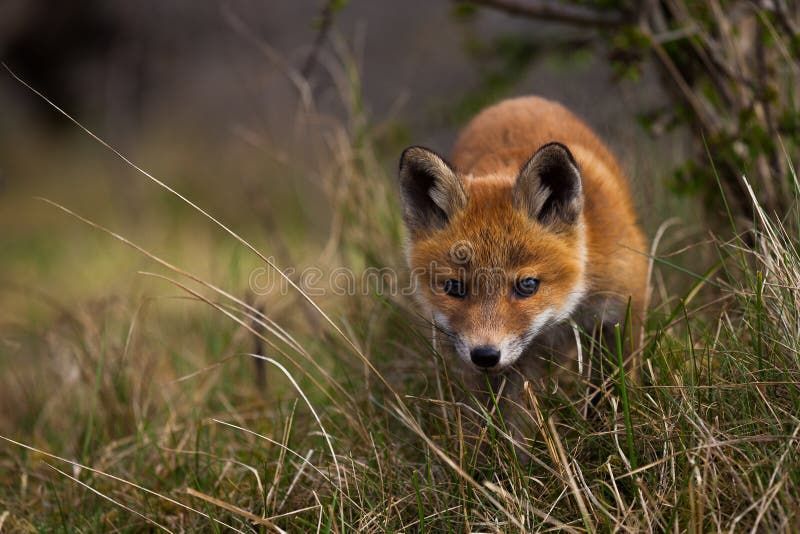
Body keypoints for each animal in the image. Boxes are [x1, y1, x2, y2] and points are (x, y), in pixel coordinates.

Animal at [398, 96, 648, 413]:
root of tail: (515, 101)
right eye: (454, 287)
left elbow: (619, 383)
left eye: (527, 285)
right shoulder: (509, 370)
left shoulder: (622, 310)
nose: (485, 355)